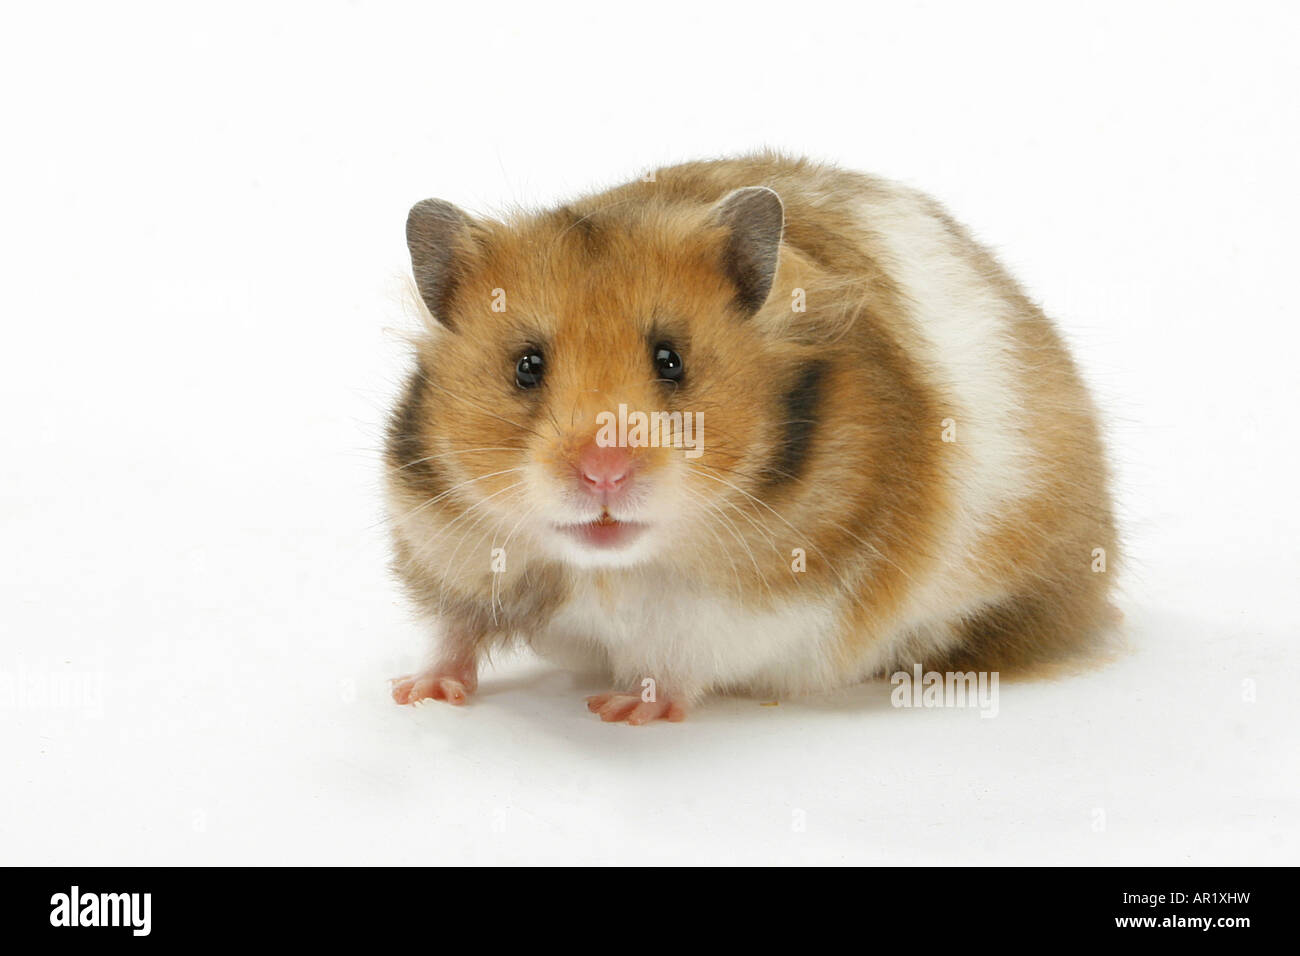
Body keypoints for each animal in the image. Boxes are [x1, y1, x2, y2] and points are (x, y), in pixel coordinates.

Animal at [385, 153, 1116, 724]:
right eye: (527, 366)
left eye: (671, 360)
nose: (604, 473)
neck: (605, 569)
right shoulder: (448, 549)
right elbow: (453, 629)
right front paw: (416, 694)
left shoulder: (767, 606)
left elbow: (680, 656)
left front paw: (623, 710)